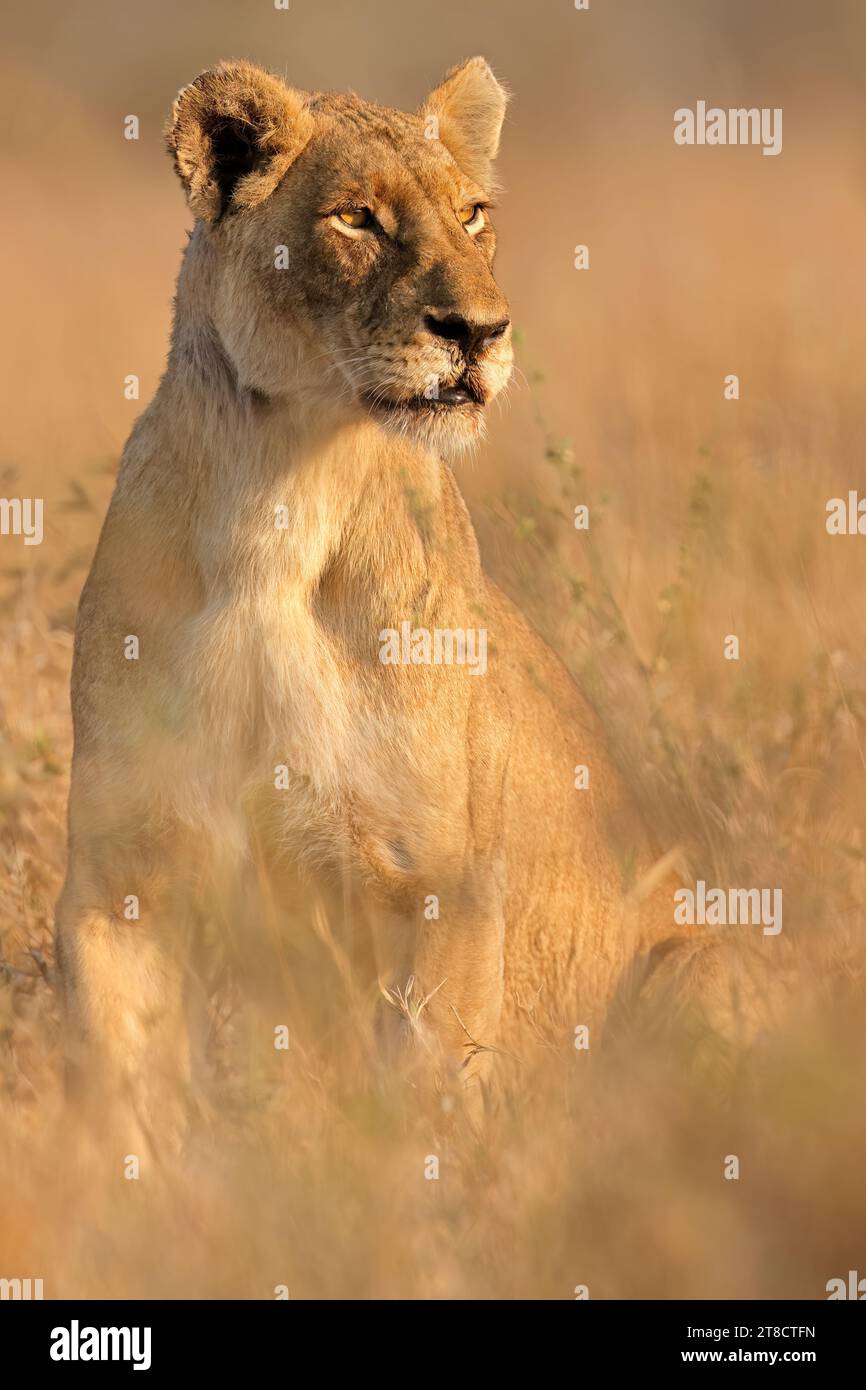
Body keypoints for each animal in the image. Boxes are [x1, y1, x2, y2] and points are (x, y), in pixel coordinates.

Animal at [55, 57, 751, 1141]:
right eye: (358, 219)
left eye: (474, 214)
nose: (480, 332)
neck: (278, 490)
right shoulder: (116, 880)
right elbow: (120, 1096)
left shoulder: (444, 886)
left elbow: (428, 1098)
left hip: (701, 960)